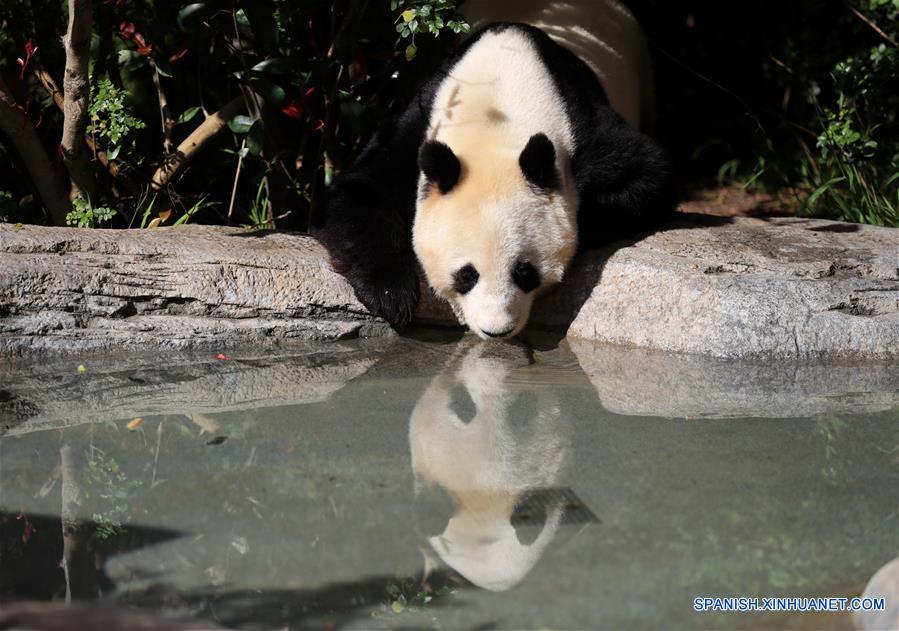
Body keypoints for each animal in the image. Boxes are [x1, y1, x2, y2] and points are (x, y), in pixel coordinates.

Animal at [313, 1, 675, 339]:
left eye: (524, 272)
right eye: (466, 275)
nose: (497, 330)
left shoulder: (583, 129)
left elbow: (646, 176)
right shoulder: (419, 126)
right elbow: (361, 193)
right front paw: (392, 295)